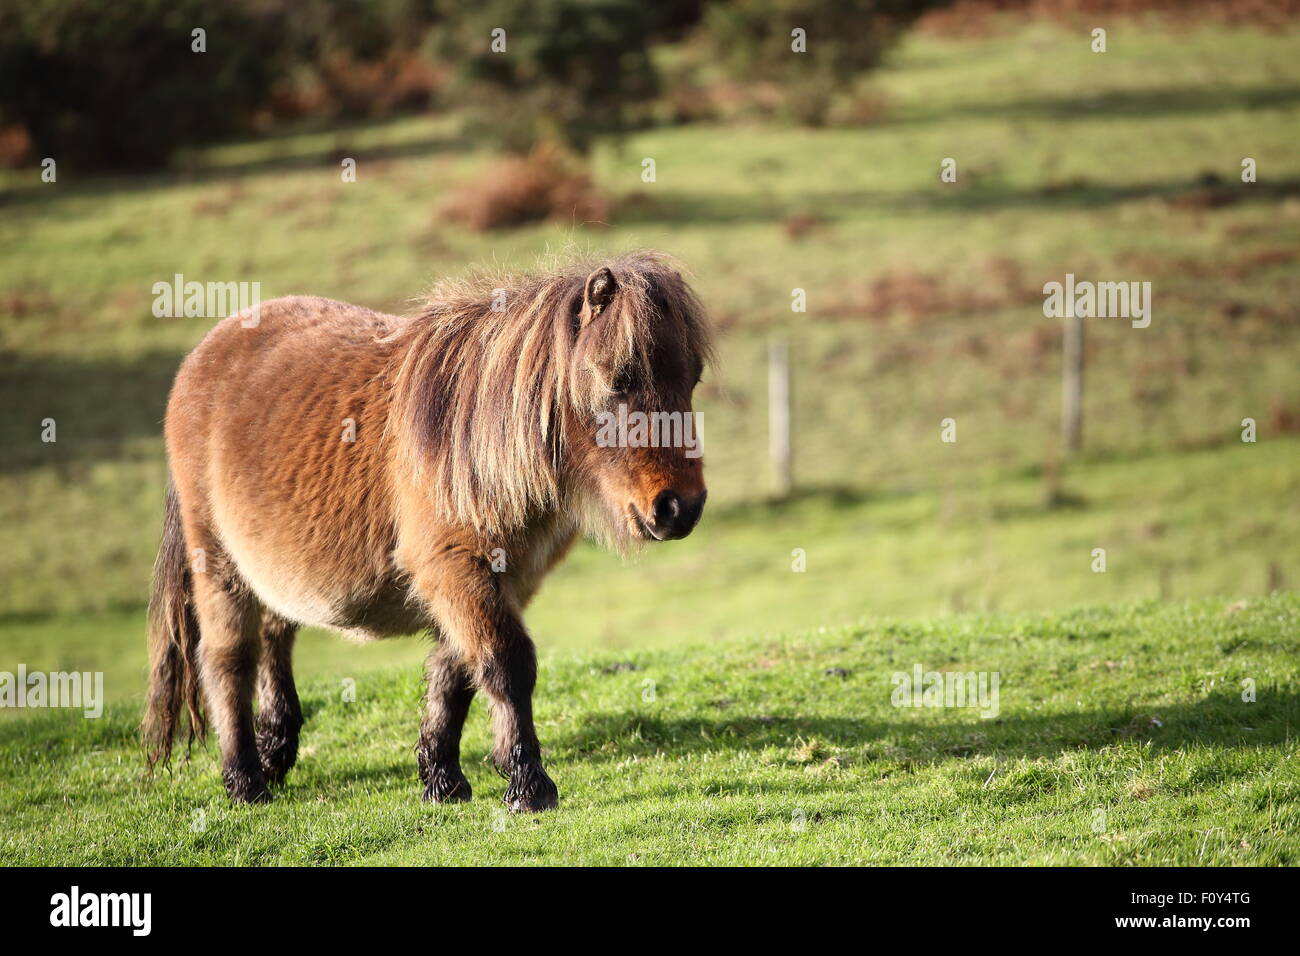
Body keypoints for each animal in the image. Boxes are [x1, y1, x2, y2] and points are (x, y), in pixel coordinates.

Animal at [142, 251, 713, 812]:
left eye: (693, 378)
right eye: (619, 380)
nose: (679, 508)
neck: (476, 442)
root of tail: (204, 353)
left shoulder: (500, 579)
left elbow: (454, 674)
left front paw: (442, 780)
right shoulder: (455, 568)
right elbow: (506, 665)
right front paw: (529, 786)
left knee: (274, 635)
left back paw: (275, 752)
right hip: (217, 563)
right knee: (227, 660)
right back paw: (245, 781)